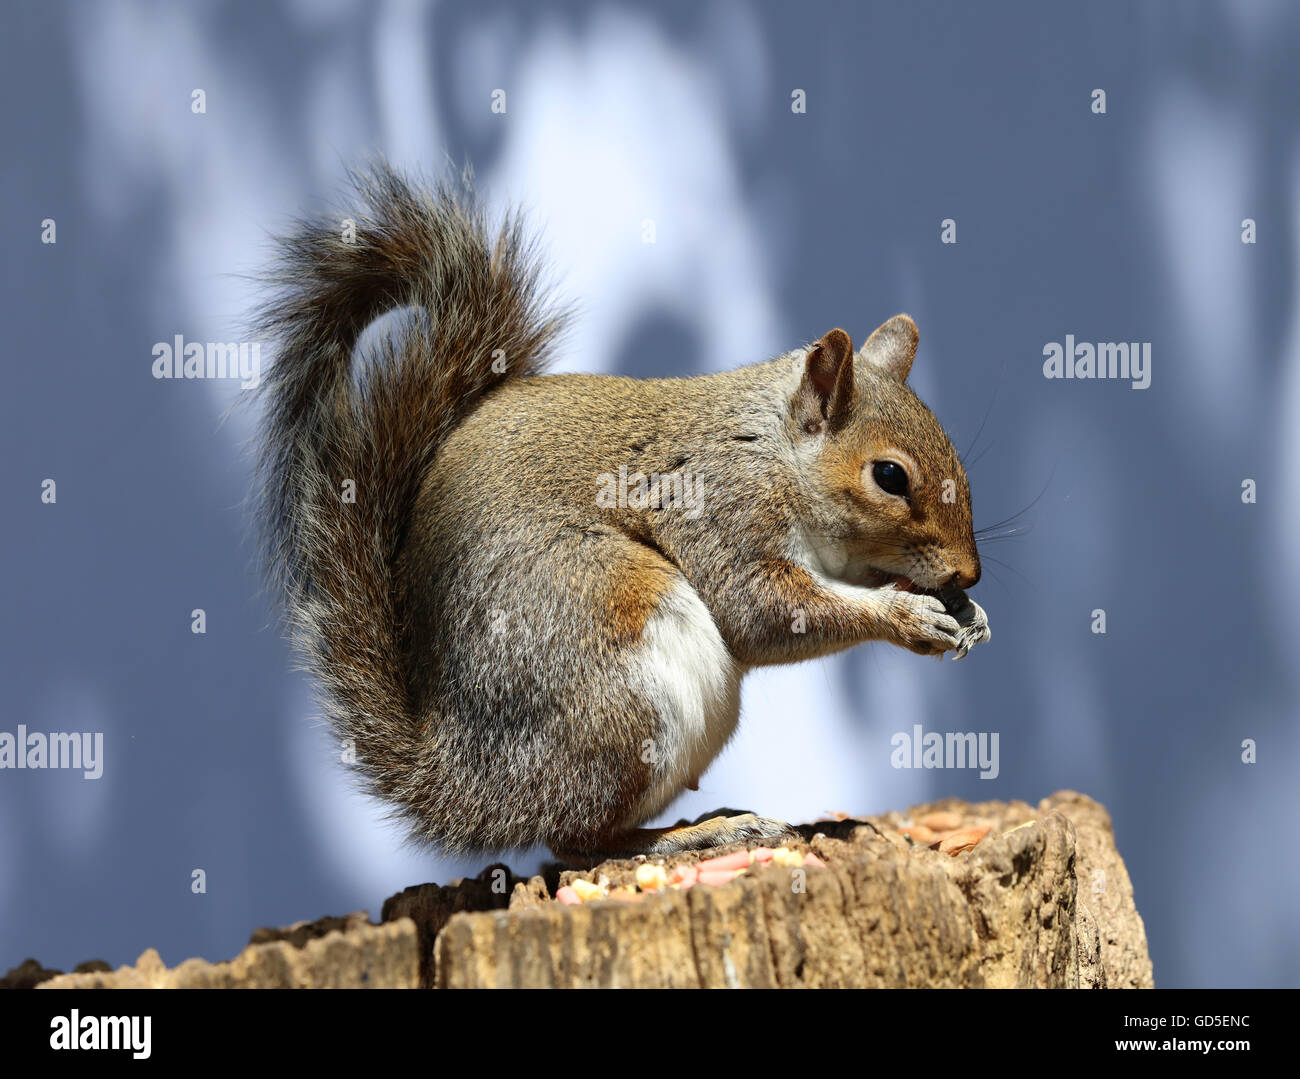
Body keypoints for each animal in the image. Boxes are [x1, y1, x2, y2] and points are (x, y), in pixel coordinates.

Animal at [256, 165, 990, 861]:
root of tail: (465, 782)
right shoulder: (721, 511)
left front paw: (966, 615)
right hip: (624, 668)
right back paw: (699, 836)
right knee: (574, 838)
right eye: (889, 476)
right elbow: (764, 612)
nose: (969, 573)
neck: (772, 451)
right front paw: (908, 615)